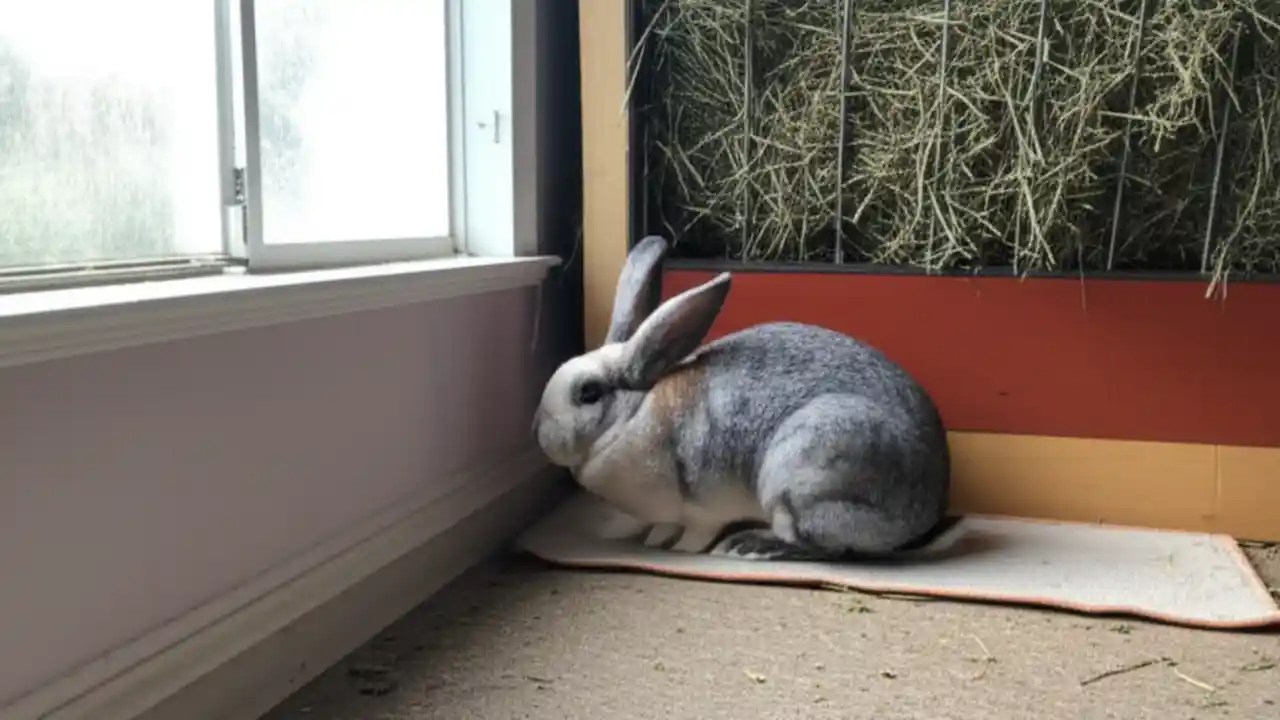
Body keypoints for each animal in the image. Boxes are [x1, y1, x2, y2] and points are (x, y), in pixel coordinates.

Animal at [532, 234, 955, 560]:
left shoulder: (702, 510)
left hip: (803, 474)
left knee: (827, 548)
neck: (634, 415)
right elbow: (661, 527)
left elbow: (695, 534)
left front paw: (680, 550)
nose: (537, 431)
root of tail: (927, 507)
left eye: (588, 393)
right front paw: (653, 541)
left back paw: (750, 546)